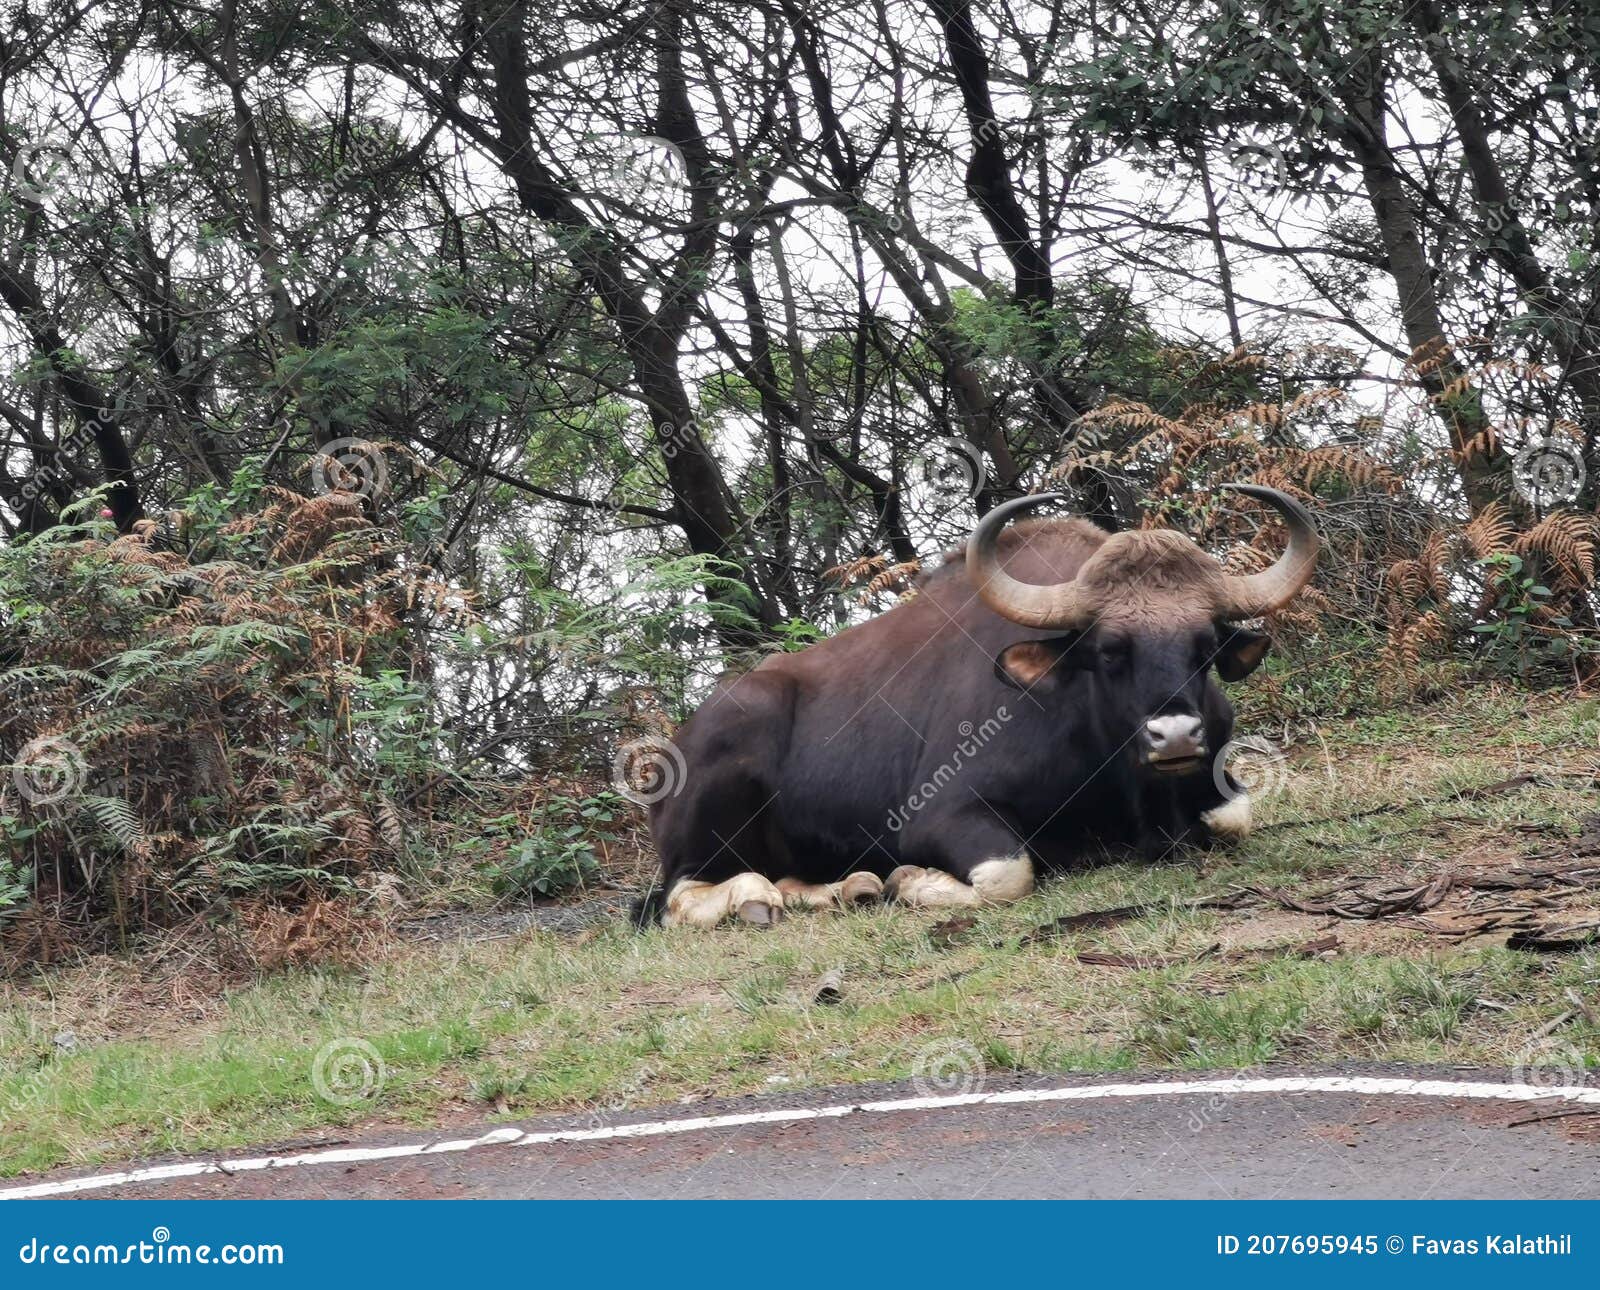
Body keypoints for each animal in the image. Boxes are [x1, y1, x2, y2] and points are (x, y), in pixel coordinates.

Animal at [639, 485, 1319, 927]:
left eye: (1204, 646)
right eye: (1109, 651)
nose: (1174, 737)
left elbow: (1233, 819)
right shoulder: (938, 815)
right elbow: (1007, 874)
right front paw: (909, 880)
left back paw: (848, 888)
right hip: (714, 806)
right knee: (677, 896)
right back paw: (760, 898)